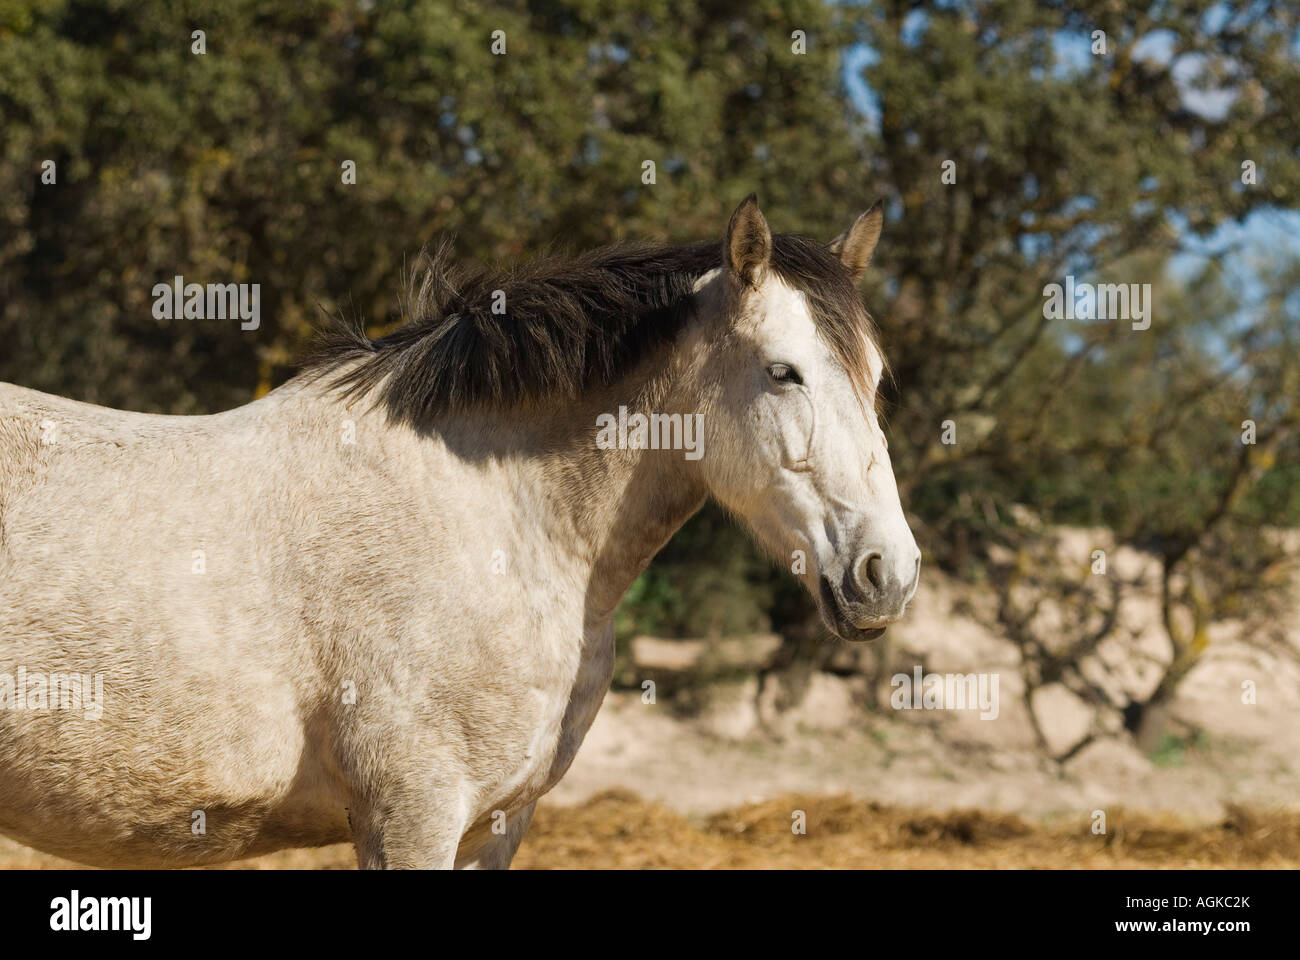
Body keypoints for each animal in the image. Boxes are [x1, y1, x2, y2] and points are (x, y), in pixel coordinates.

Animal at [0, 195, 920, 868]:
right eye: (782, 372)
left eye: (876, 375)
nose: (888, 574)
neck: (497, 526)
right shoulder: (412, 816)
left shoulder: (498, 822)